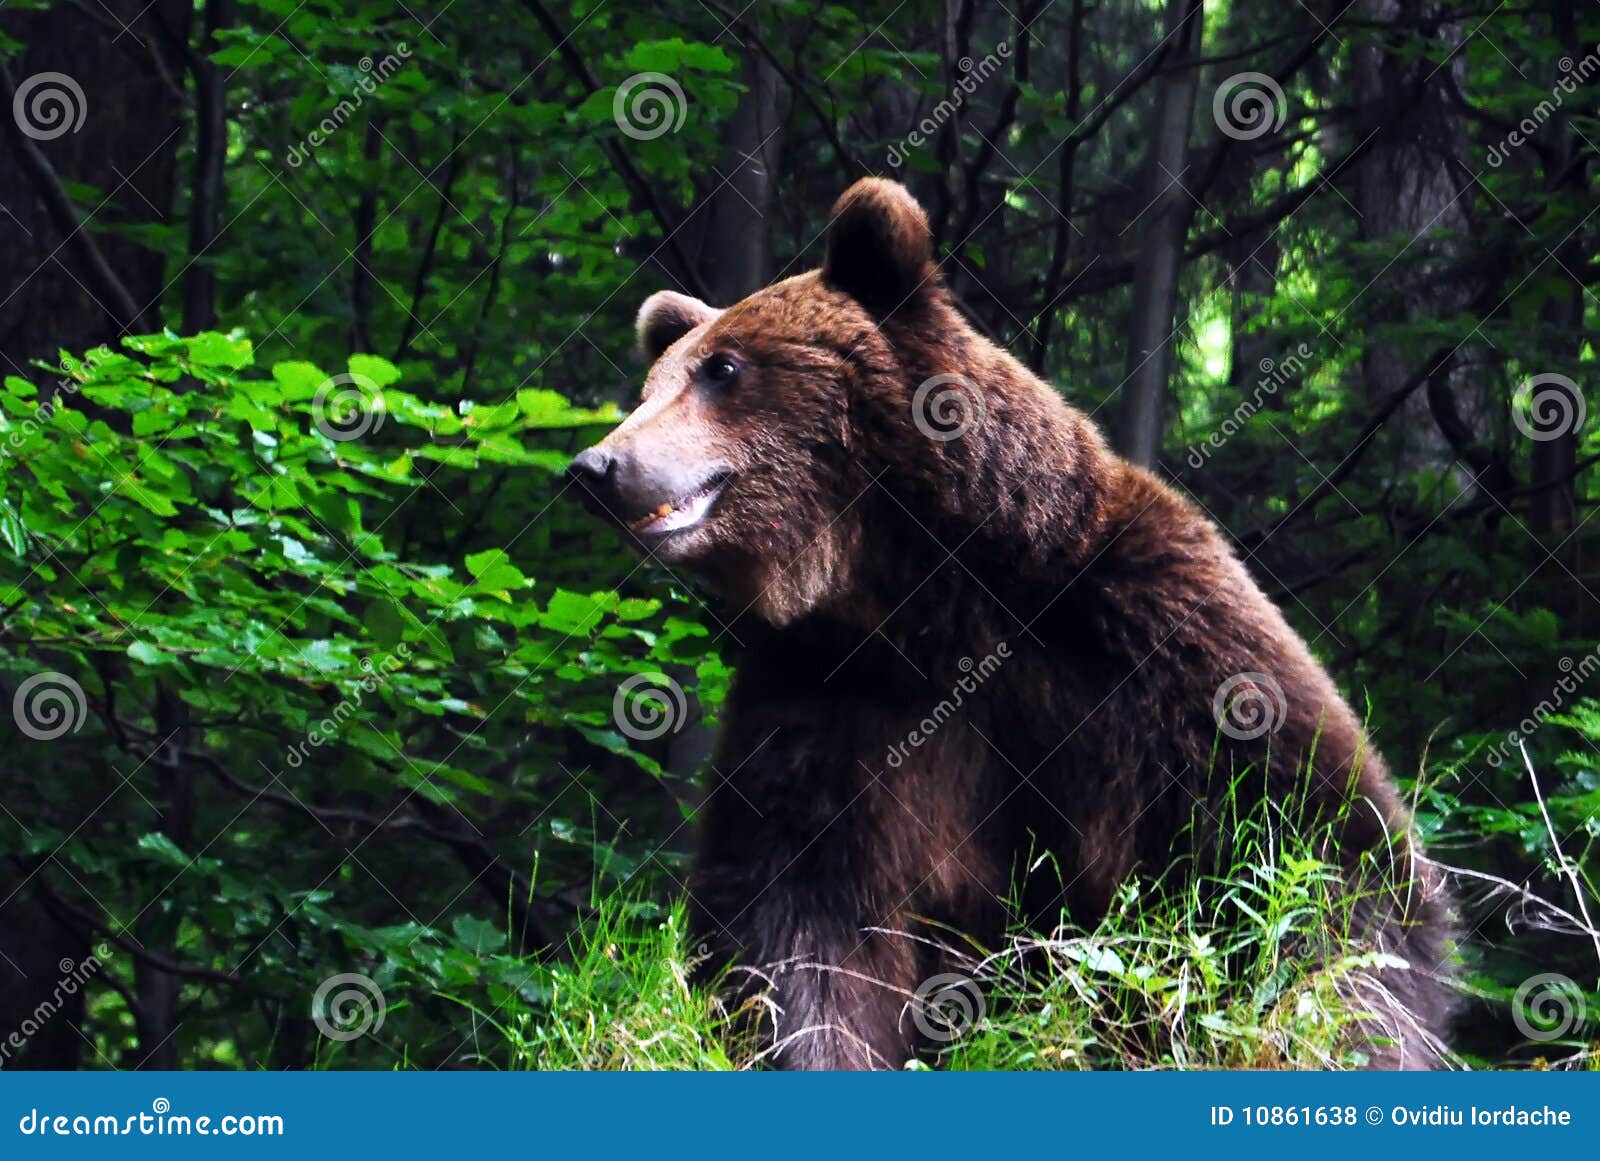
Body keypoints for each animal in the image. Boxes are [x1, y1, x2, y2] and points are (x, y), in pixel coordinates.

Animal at [564, 178, 1456, 1070]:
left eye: (723, 367)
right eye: (652, 384)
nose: (596, 466)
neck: (918, 596)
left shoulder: (1144, 634)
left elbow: (1319, 848)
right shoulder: (823, 698)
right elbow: (796, 910)